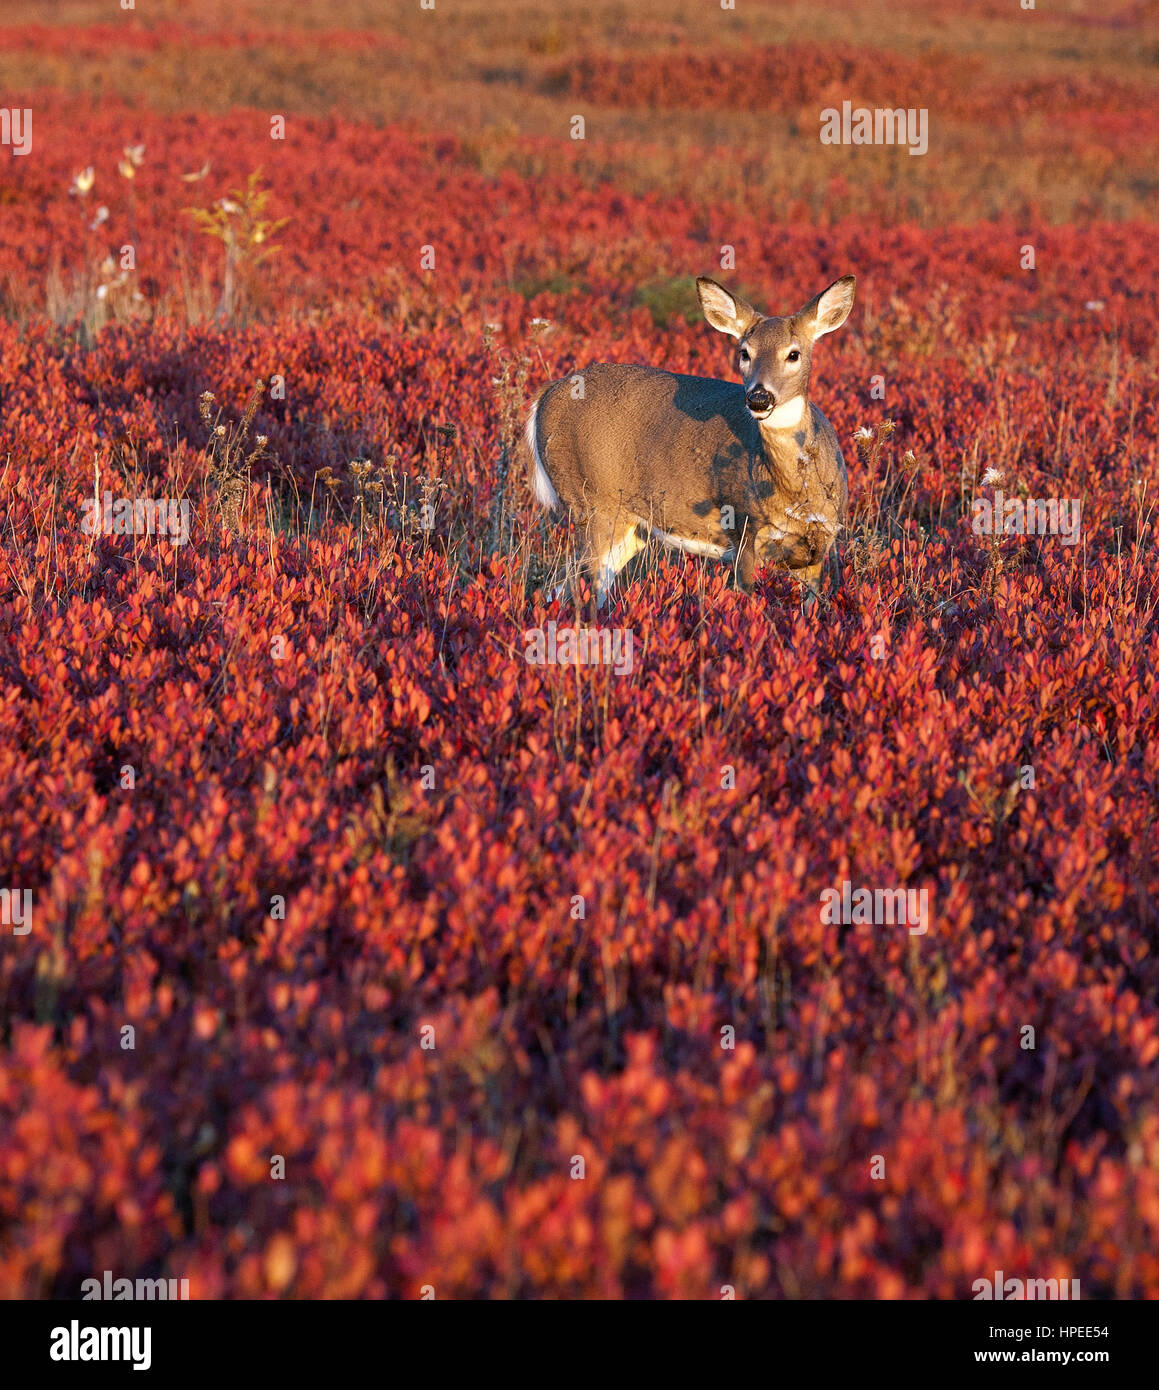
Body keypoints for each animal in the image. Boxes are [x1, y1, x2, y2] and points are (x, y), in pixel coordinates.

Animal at [524, 274, 856, 605]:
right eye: (744, 352)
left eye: (793, 354)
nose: (759, 398)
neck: (795, 494)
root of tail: (546, 395)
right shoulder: (744, 528)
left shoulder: (819, 547)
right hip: (591, 501)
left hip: (630, 528)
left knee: (560, 582)